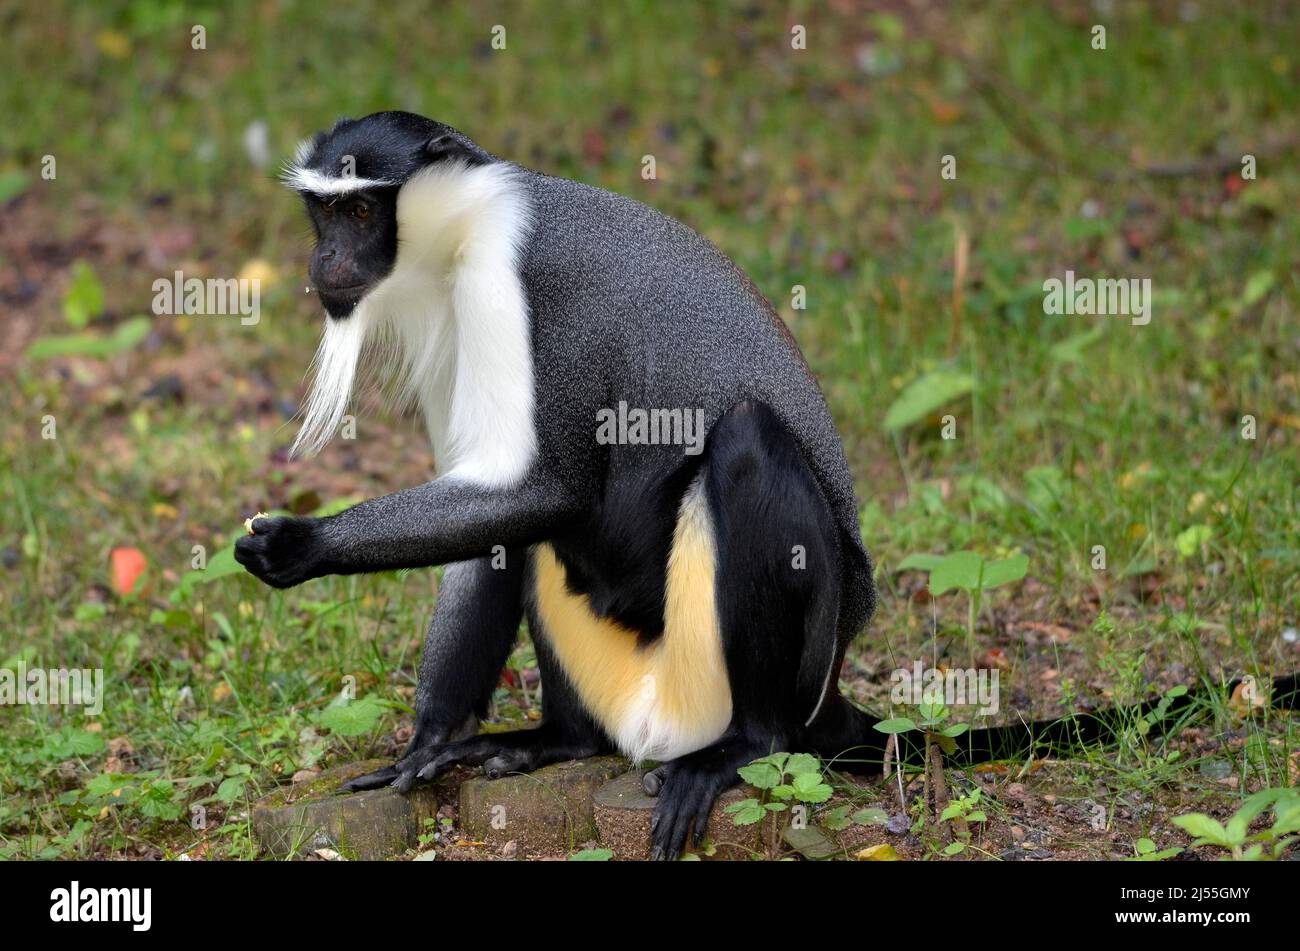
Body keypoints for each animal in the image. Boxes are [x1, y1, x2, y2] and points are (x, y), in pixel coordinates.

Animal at [236, 112, 1298, 860]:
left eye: (361, 208)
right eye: (321, 211)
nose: (325, 261)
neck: (454, 237)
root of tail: (828, 690)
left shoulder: (507, 280)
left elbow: (542, 485)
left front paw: (304, 543)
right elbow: (493, 513)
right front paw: (424, 743)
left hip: (739, 667)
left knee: (746, 443)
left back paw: (744, 747)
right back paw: (559, 740)